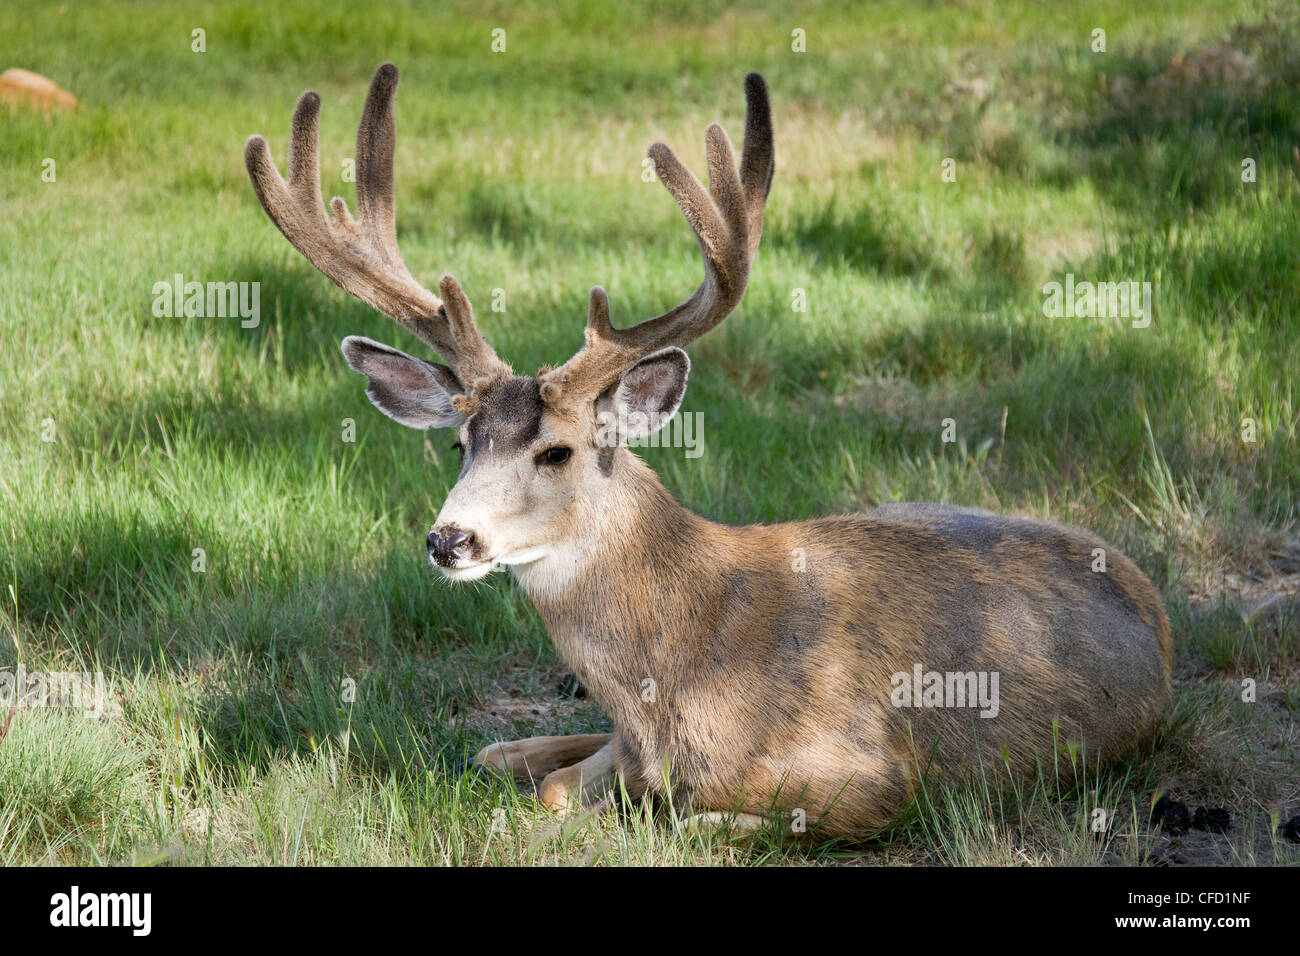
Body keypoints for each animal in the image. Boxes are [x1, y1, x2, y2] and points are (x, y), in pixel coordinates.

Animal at [244, 63, 1173, 838]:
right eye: (458, 442)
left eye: (558, 451)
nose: (450, 539)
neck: (681, 659)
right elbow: (540, 776)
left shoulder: (878, 779)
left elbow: (690, 817)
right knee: (501, 751)